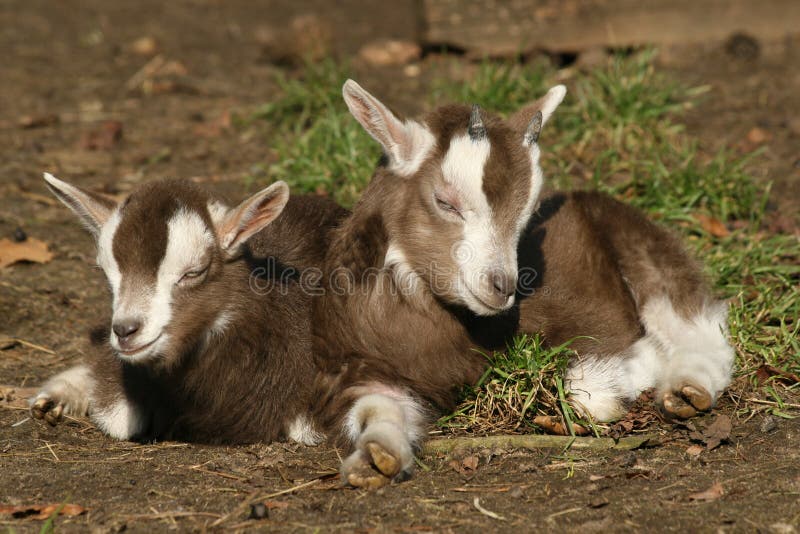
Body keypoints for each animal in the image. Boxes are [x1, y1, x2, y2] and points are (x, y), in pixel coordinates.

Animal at [311, 80, 734, 488]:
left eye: (528, 212)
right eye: (444, 202)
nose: (502, 286)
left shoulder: (601, 320)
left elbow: (590, 386)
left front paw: (628, 377)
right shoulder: (362, 368)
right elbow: (375, 407)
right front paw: (375, 460)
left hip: (641, 250)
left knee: (698, 325)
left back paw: (686, 388)